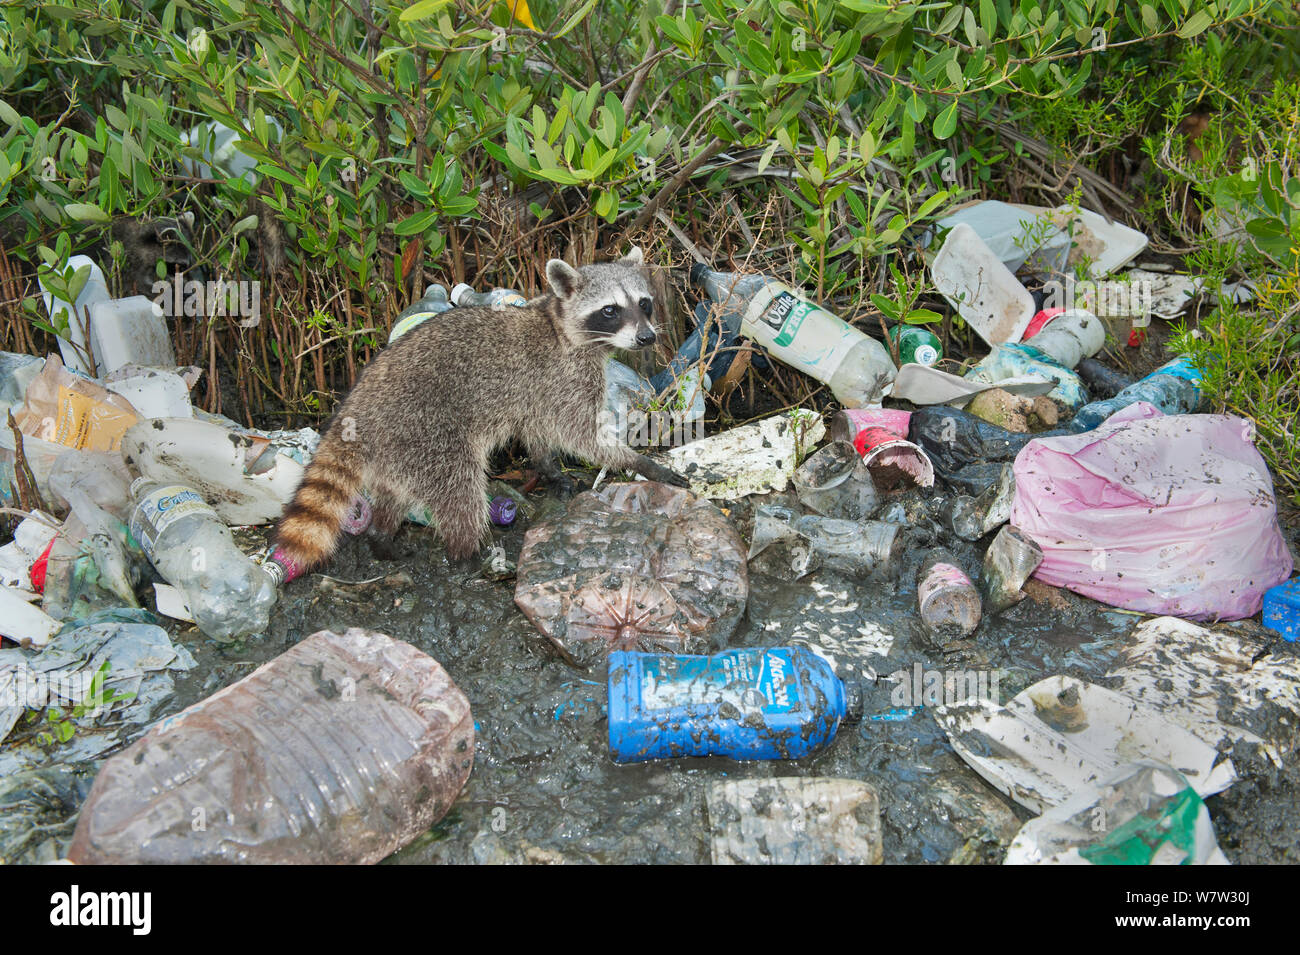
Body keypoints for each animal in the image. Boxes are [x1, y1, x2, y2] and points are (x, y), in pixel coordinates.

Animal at [269, 247, 685, 582]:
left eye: (644, 303)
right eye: (610, 310)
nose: (648, 337)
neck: (558, 323)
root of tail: (356, 409)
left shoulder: (540, 391)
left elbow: (537, 428)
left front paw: (547, 466)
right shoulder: (563, 374)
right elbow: (578, 434)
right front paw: (639, 462)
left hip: (397, 453)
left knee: (395, 494)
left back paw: (382, 536)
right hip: (426, 435)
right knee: (461, 492)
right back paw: (465, 554)